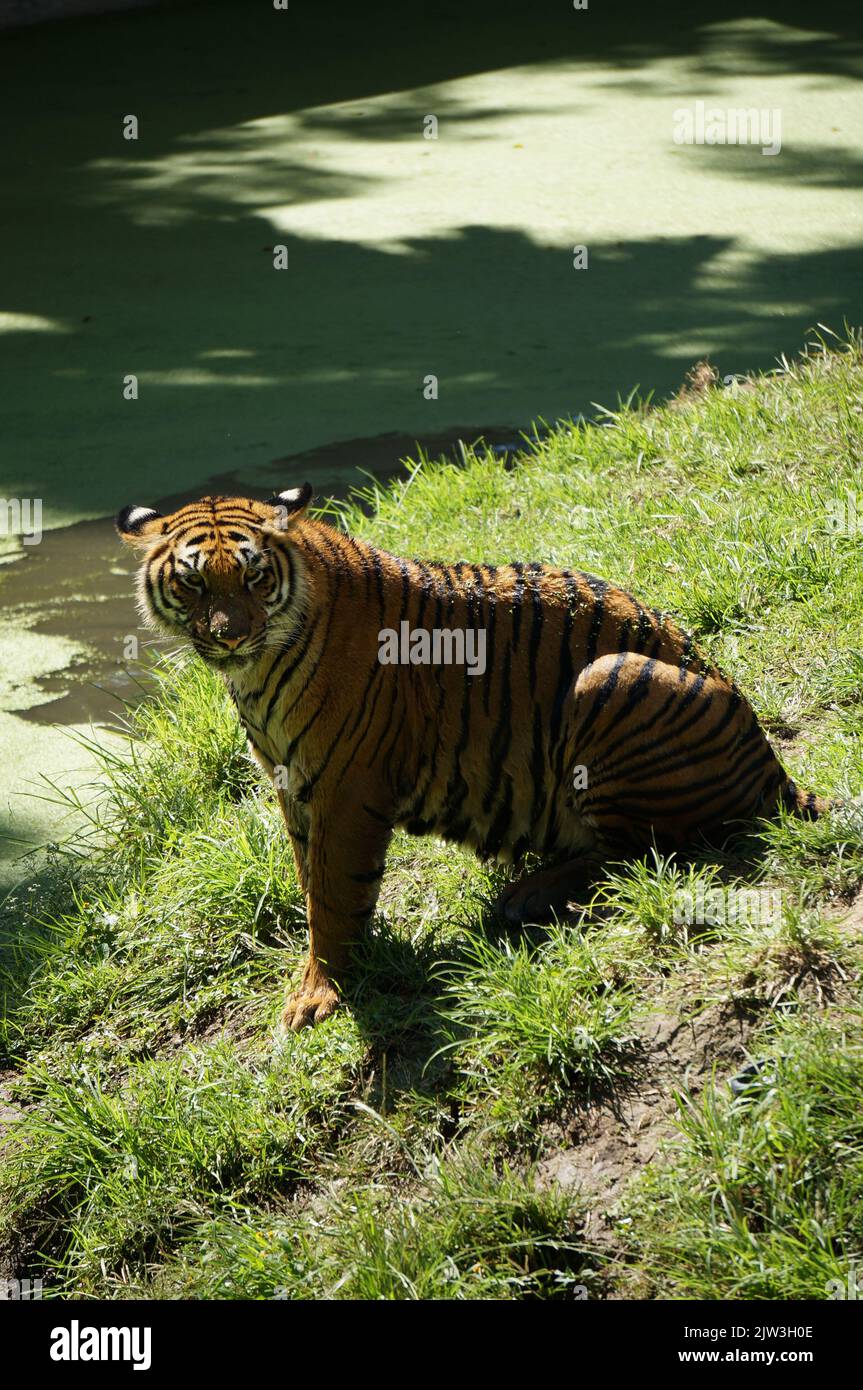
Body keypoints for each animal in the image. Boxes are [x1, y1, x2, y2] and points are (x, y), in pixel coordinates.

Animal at [116, 486, 829, 1030]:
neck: (255, 673)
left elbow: (333, 895)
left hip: (608, 683)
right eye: (193, 582)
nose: (231, 635)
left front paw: (319, 994)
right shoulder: (294, 785)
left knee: (645, 853)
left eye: (256, 577)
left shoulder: (345, 786)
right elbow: (307, 878)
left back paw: (528, 893)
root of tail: (774, 764)